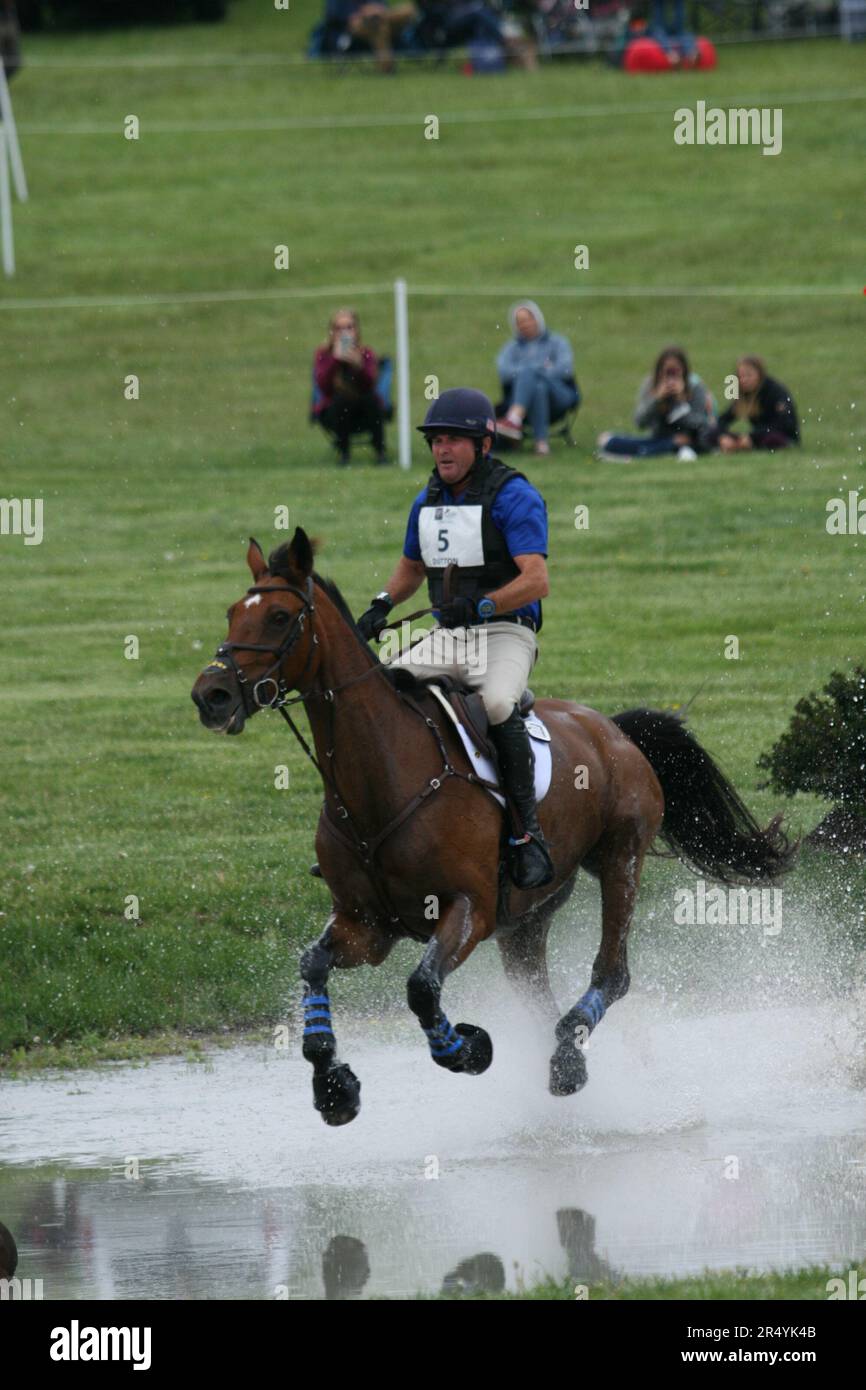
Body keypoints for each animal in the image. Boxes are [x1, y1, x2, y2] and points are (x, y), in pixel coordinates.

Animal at [191, 528, 795, 1126]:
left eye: (277, 618)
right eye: (230, 614)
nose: (210, 696)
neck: (379, 778)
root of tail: (613, 728)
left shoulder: (469, 909)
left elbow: (422, 988)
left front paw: (466, 1048)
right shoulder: (367, 924)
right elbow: (313, 963)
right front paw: (333, 1085)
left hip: (620, 857)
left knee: (612, 972)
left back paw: (568, 1053)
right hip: (524, 919)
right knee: (537, 994)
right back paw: (576, 1061)